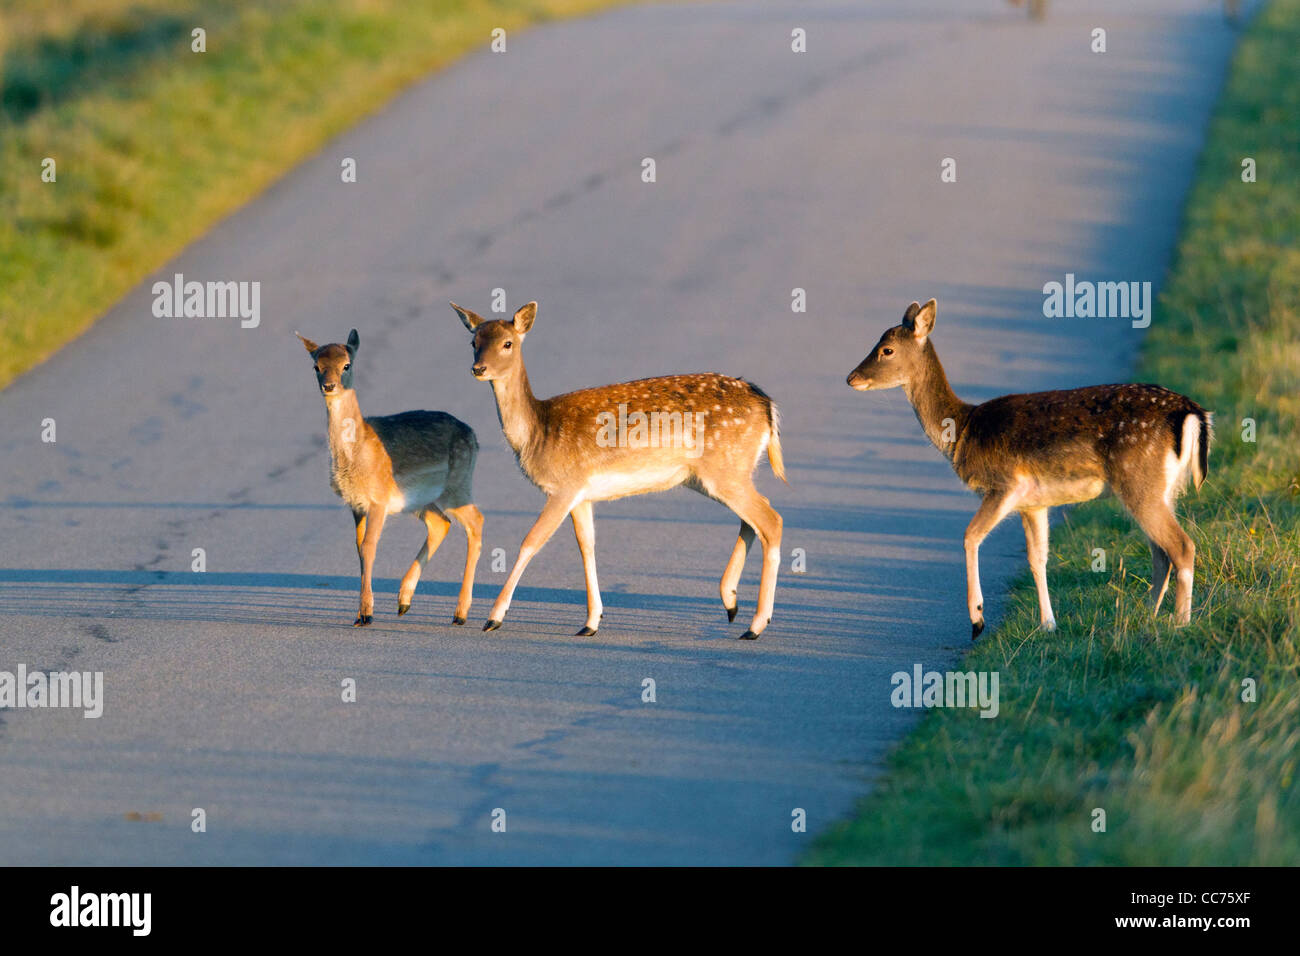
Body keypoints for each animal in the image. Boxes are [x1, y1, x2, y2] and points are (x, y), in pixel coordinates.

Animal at [296, 329, 484, 627]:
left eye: (346, 364)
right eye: (316, 366)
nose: (329, 385)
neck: (358, 452)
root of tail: (473, 436)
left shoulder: (378, 499)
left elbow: (370, 546)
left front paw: (366, 614)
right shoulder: (356, 504)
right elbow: (359, 548)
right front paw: (360, 614)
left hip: (457, 486)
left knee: (476, 522)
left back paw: (460, 614)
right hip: (421, 500)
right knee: (440, 523)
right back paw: (403, 602)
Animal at [450, 300, 785, 640]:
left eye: (508, 343)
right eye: (473, 342)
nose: (479, 368)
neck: (537, 433)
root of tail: (766, 405)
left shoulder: (563, 487)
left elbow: (531, 541)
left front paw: (493, 618)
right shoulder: (581, 494)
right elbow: (587, 546)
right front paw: (591, 622)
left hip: (724, 468)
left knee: (771, 521)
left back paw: (756, 624)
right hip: (714, 474)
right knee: (755, 518)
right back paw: (731, 603)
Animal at [847, 299, 1210, 639]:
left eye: (886, 350)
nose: (851, 378)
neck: (961, 433)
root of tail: (1192, 413)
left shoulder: (1005, 484)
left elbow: (969, 536)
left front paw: (977, 619)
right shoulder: (1033, 503)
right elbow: (1037, 558)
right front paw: (1048, 624)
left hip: (1139, 481)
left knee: (1182, 547)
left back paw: (1181, 623)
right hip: (1161, 489)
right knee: (1161, 553)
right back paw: (1147, 617)